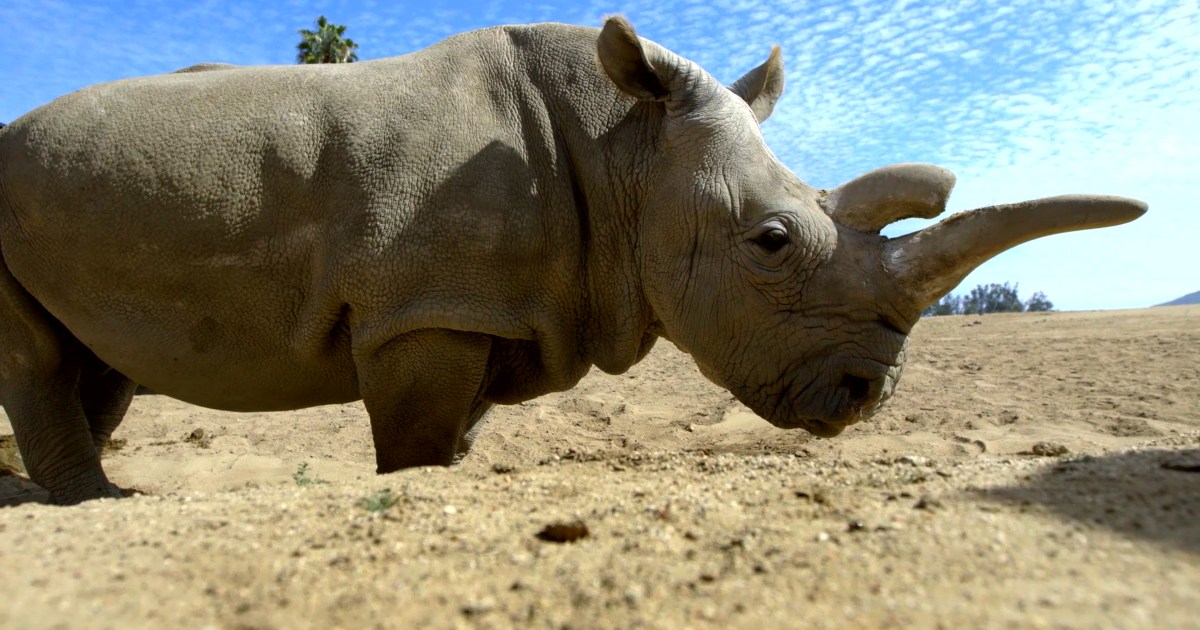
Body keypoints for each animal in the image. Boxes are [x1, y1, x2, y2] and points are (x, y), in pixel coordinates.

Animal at [0, 18, 1144, 504]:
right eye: (773, 242)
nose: (870, 397)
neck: (624, 146)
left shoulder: (484, 307)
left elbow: (451, 434)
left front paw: (452, 477)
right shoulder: (424, 308)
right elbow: (414, 442)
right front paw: (419, 490)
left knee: (96, 359)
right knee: (45, 361)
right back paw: (92, 506)